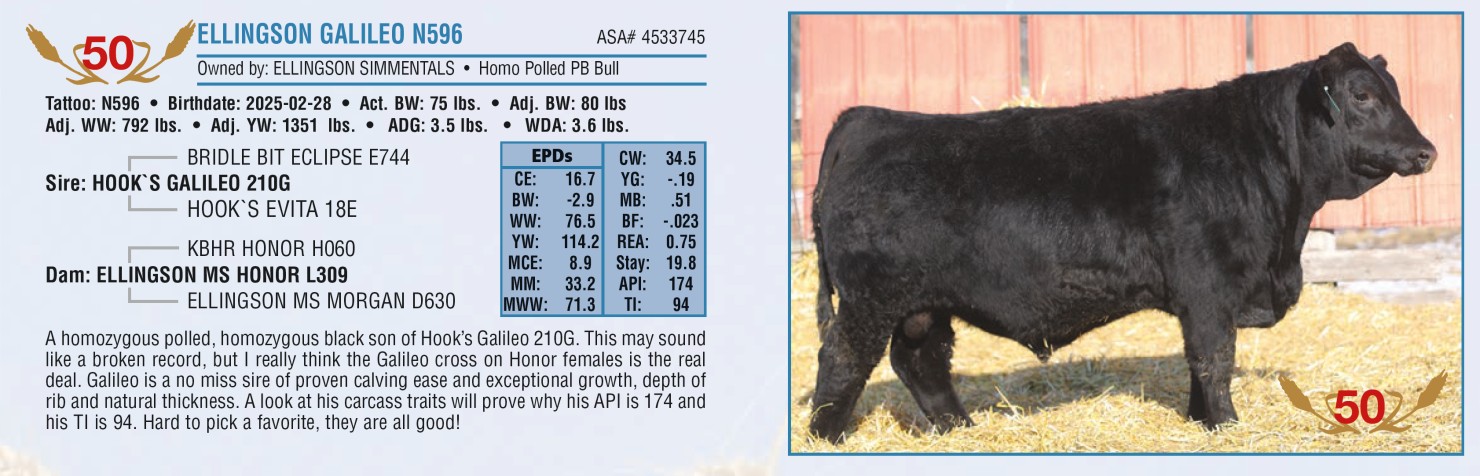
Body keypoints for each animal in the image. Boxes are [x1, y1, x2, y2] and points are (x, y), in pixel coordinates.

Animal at [808, 43, 1436, 443]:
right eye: (1361, 95)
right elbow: (1214, 359)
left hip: (923, 303)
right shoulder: (1209, 287)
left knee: (922, 360)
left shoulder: (1206, 296)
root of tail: (868, 119)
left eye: (1395, 91)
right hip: (870, 299)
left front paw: (1201, 422)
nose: (1426, 151)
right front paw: (1227, 425)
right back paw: (824, 436)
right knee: (844, 358)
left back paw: (959, 428)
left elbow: (1198, 364)